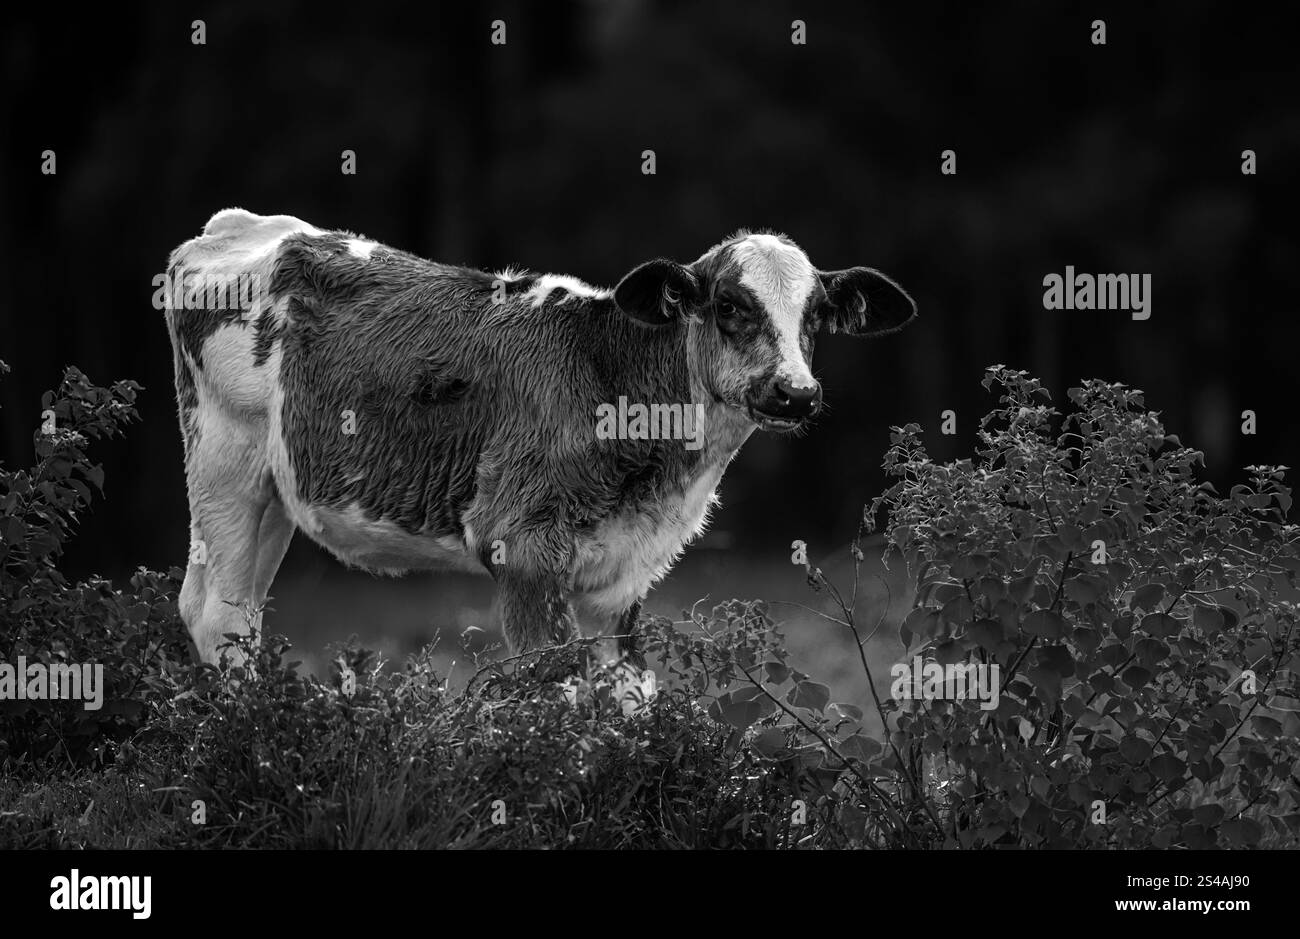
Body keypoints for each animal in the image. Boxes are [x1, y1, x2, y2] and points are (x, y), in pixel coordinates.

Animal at [162, 209, 916, 674]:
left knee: (243, 613)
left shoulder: (622, 577)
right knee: (214, 613)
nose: (796, 392)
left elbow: (626, 699)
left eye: (816, 315)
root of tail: (248, 227)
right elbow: (554, 690)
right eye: (730, 306)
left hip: (275, 492)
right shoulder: (521, 543)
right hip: (223, 460)